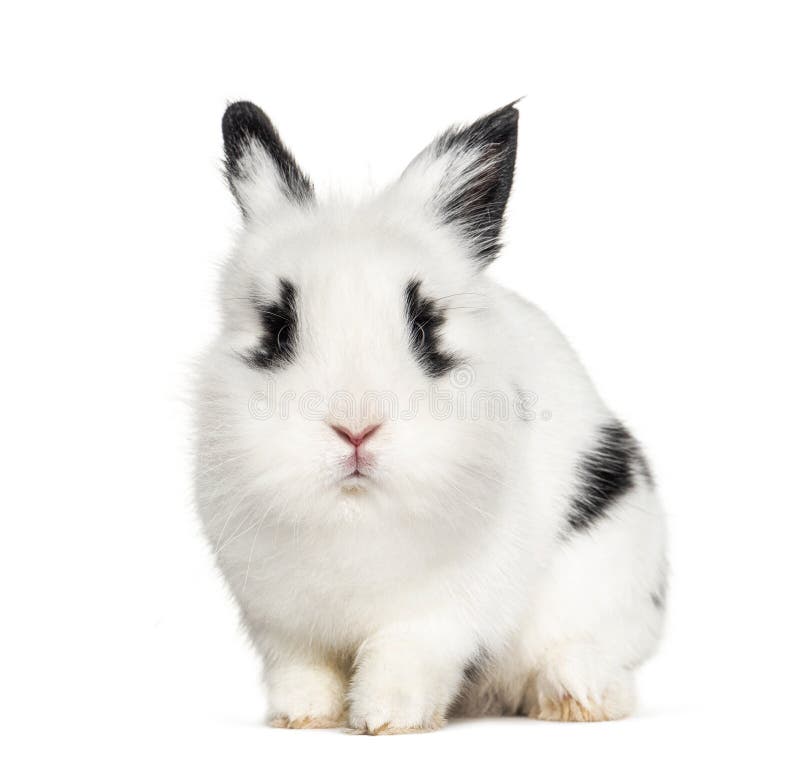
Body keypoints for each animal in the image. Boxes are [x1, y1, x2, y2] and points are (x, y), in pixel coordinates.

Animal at [193, 100, 668, 734]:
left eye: (425, 325)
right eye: (276, 327)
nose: (356, 428)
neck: (354, 516)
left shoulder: (440, 614)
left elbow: (403, 656)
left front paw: (387, 718)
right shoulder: (283, 624)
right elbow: (303, 669)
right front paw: (303, 716)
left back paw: (577, 698)